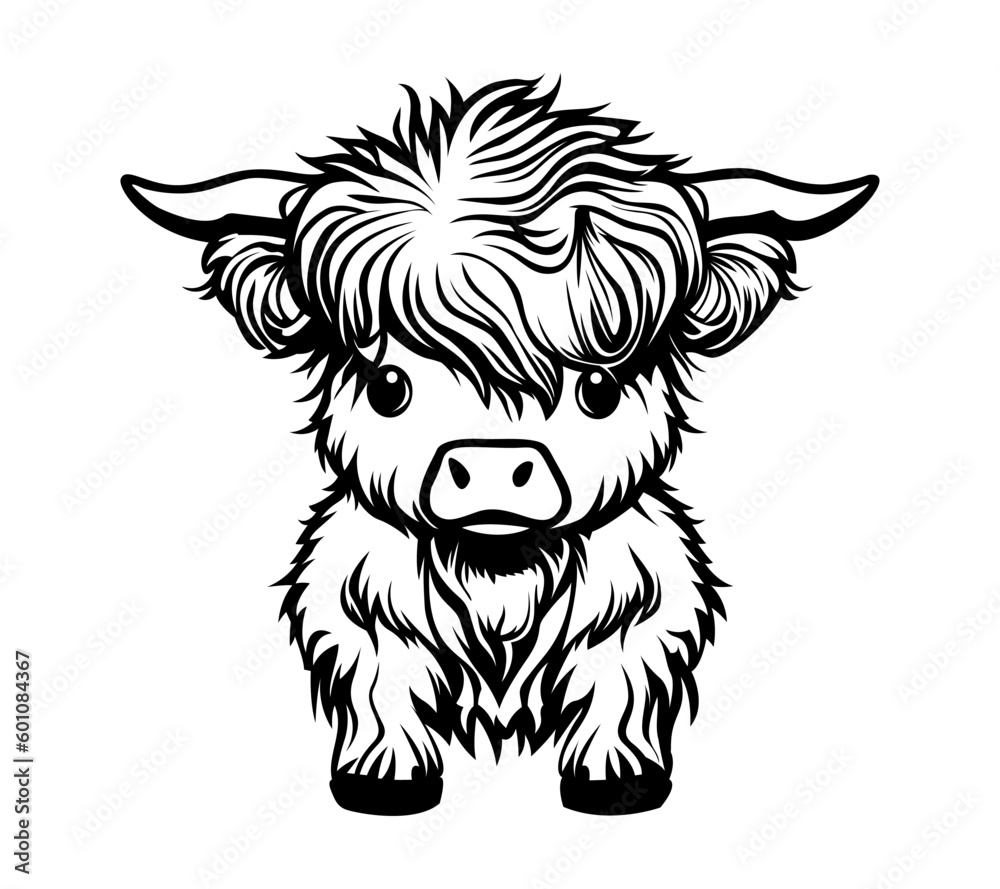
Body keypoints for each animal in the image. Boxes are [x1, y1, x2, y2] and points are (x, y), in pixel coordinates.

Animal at [123, 78, 876, 816]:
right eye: (388, 383)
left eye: (599, 385)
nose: (491, 469)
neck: (498, 570)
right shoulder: (358, 609)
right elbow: (383, 687)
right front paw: (384, 776)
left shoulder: (644, 610)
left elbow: (617, 686)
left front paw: (617, 778)